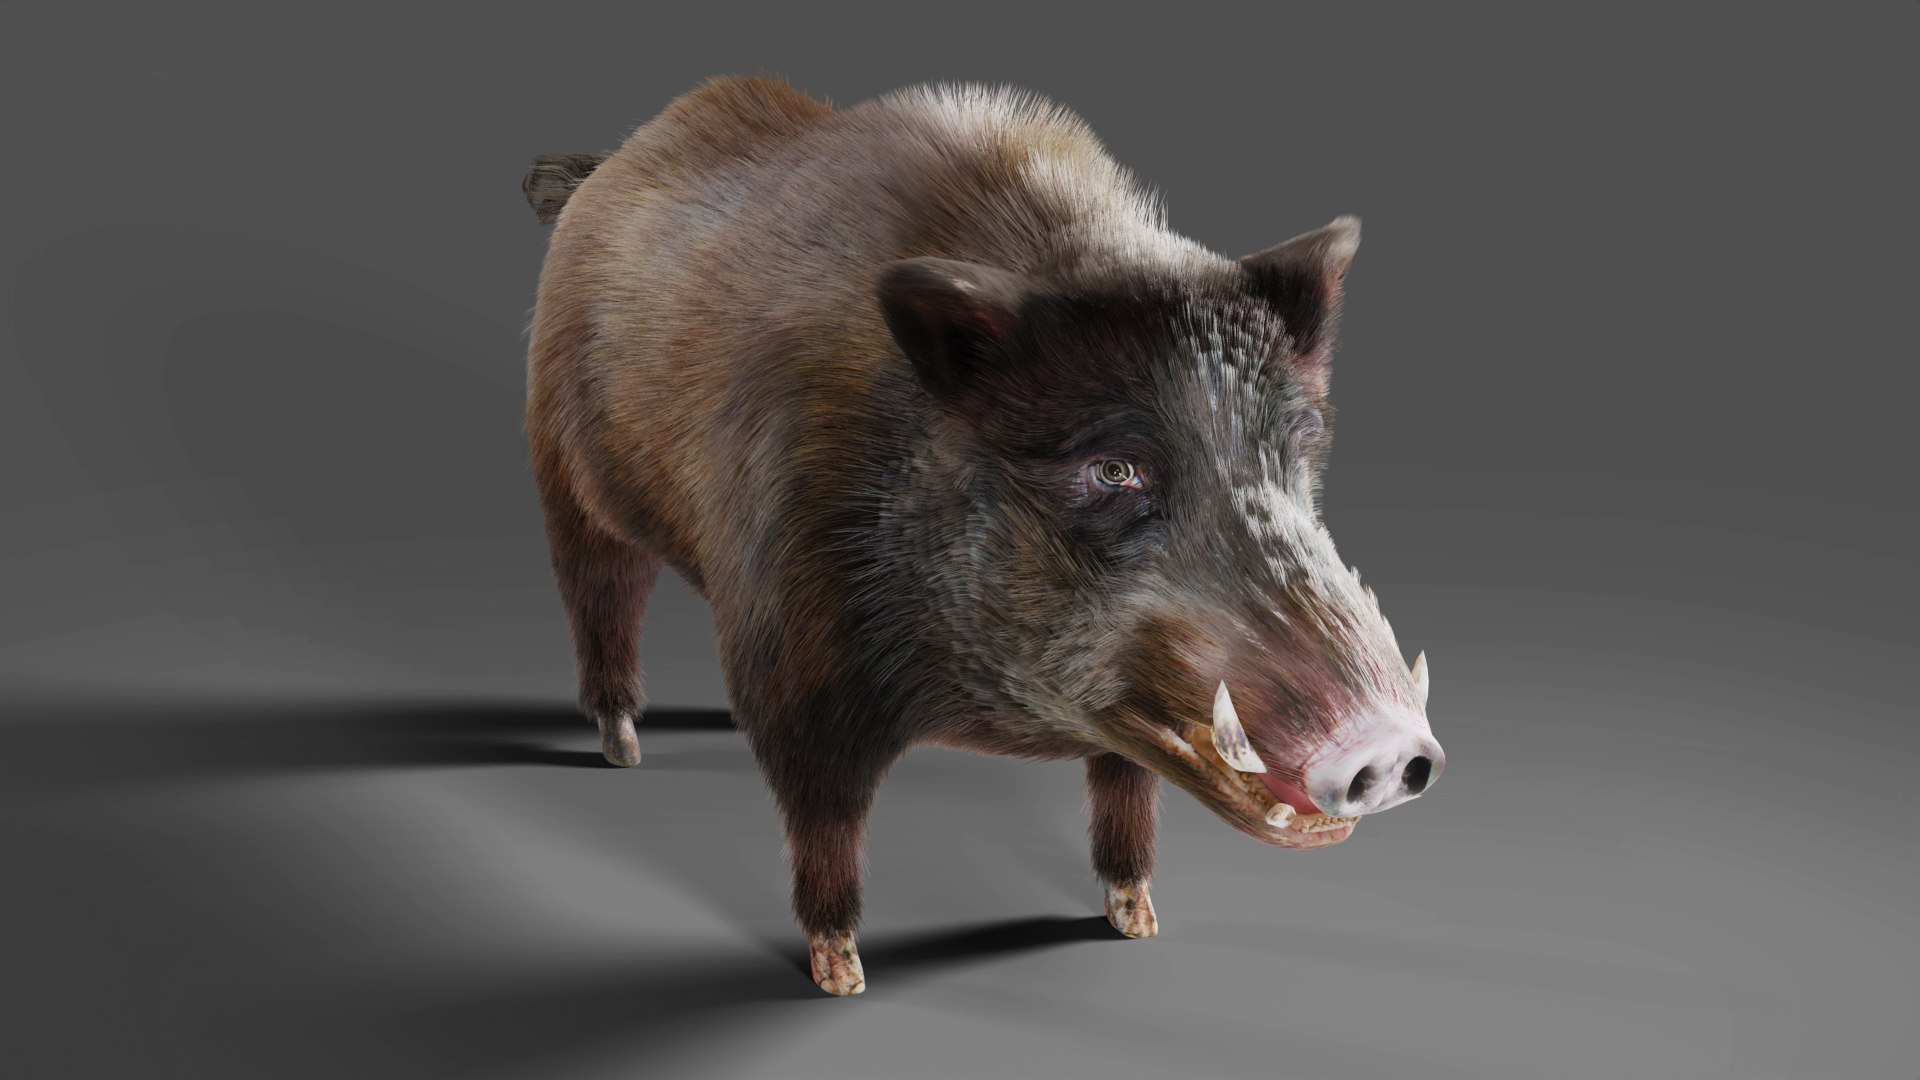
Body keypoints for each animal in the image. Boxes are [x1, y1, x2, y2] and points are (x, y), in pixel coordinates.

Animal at [522, 75, 1444, 996]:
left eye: (1296, 449)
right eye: (1115, 470)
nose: (1396, 745)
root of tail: (605, 168)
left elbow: (1126, 786)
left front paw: (1136, 922)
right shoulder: (795, 663)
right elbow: (822, 818)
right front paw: (842, 975)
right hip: (563, 482)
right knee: (597, 596)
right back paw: (623, 748)